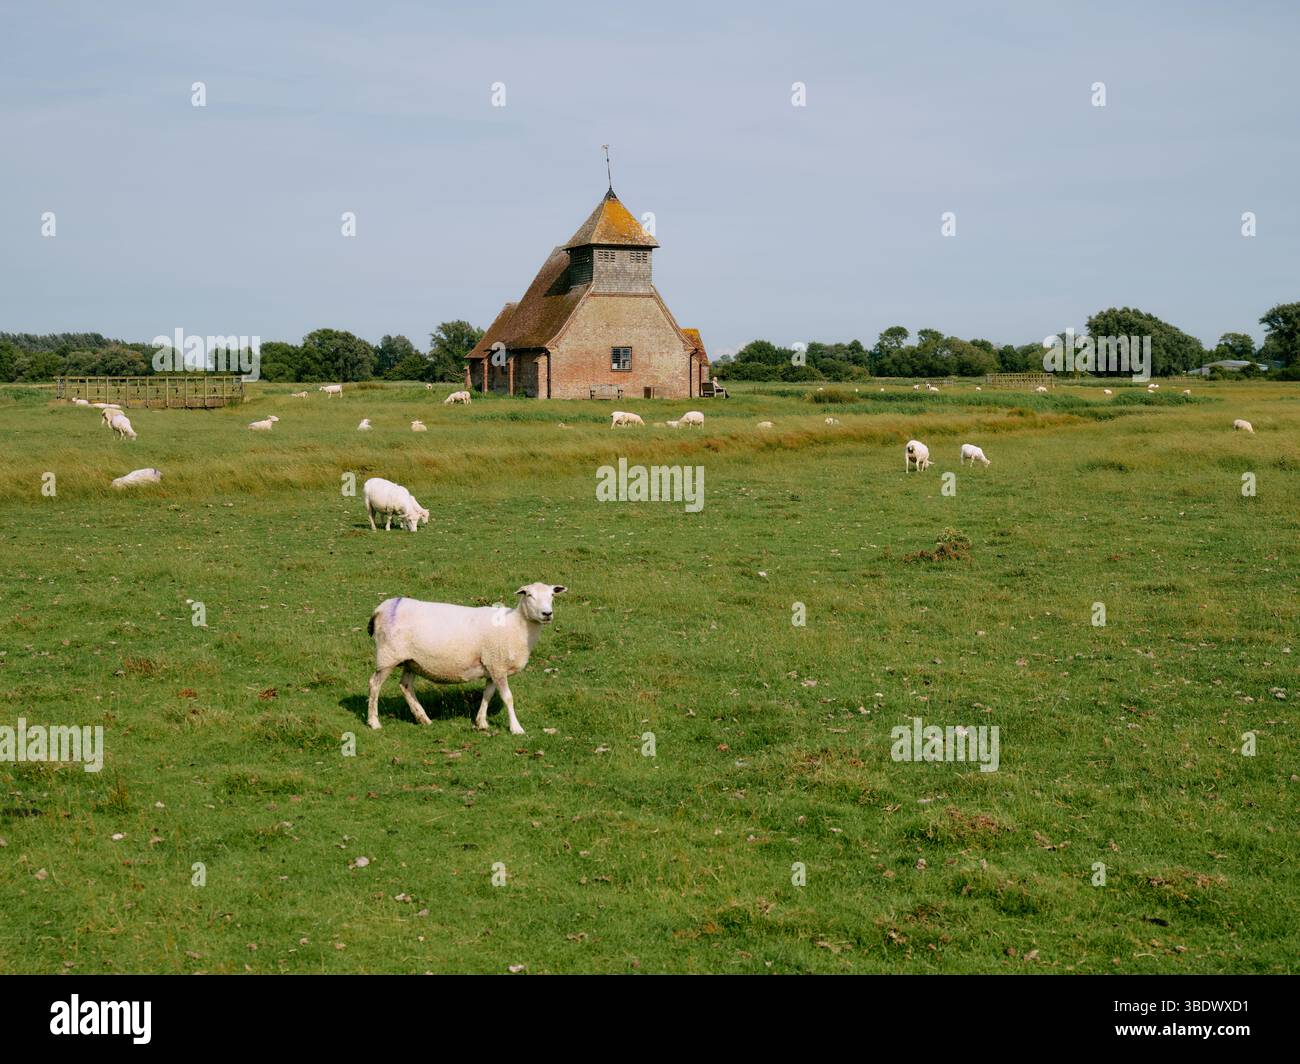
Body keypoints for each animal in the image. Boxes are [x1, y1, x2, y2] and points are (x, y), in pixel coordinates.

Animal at [366, 582, 567, 734]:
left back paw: (423, 718)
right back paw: (374, 722)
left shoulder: (491, 665)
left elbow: (488, 694)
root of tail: (380, 609)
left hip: (411, 661)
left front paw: (481, 722)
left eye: (552, 595)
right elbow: (507, 697)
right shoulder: (498, 665)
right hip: (387, 657)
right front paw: (516, 728)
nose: (547, 614)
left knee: (406, 685)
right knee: (374, 684)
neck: (516, 626)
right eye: (529, 595)